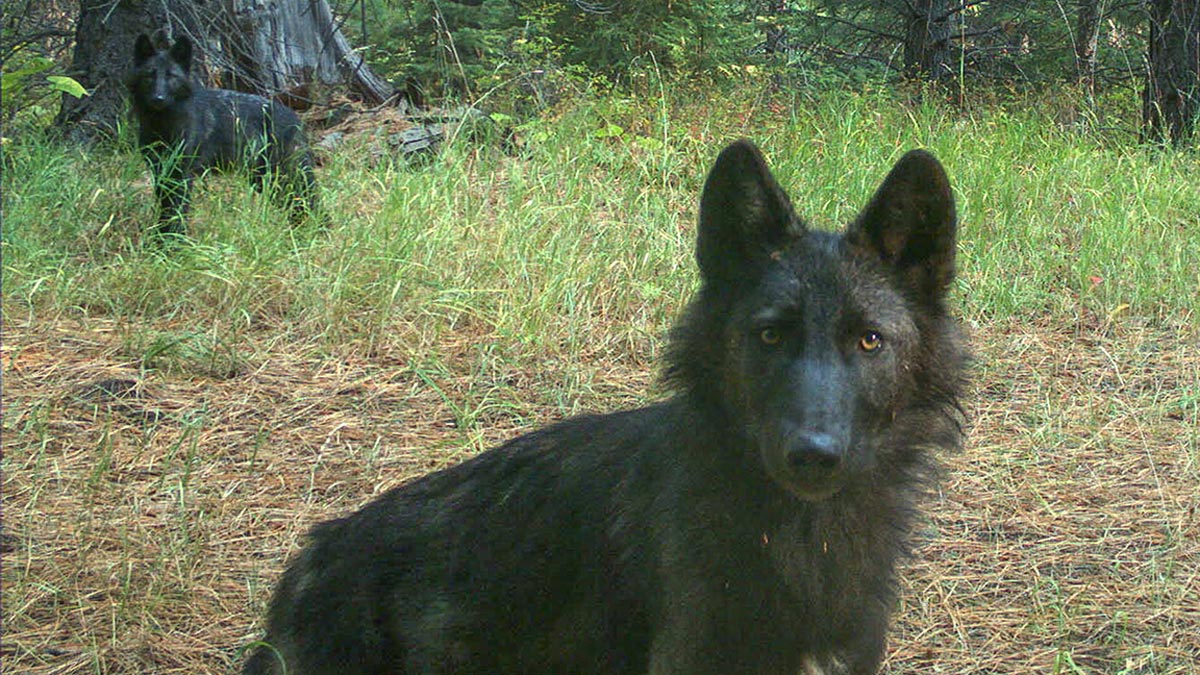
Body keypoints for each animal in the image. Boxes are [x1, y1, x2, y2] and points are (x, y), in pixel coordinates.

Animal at [127, 34, 320, 236]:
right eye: (149, 75)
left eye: (171, 76)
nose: (158, 99)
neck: (162, 124)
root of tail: (295, 118)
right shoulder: (161, 172)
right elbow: (165, 210)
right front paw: (160, 238)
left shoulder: (182, 175)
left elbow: (176, 210)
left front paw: (173, 239)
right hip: (263, 180)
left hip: (282, 176)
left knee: (309, 202)